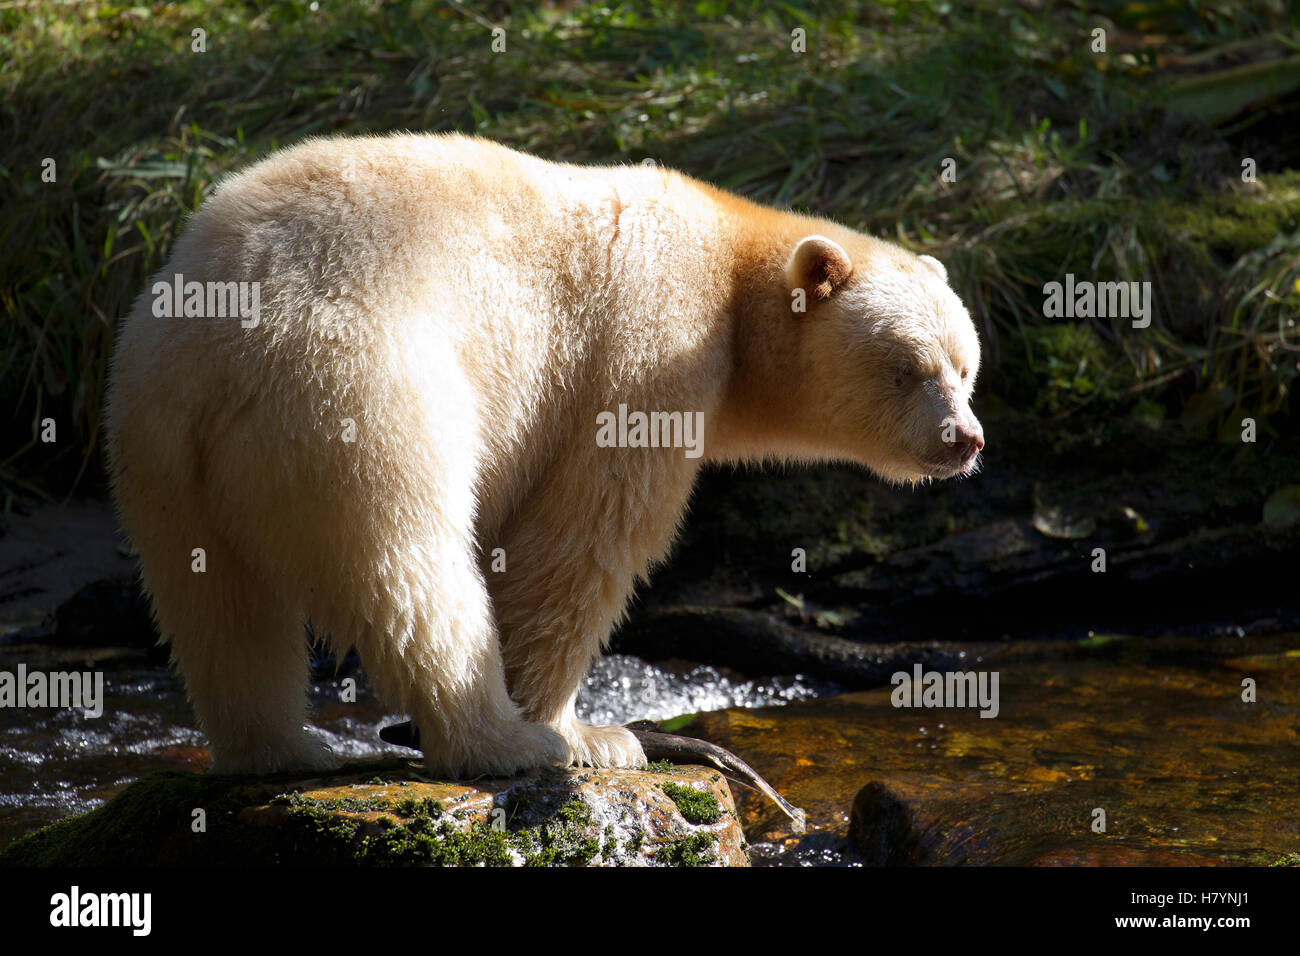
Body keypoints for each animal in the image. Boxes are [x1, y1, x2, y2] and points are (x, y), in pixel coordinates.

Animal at [105, 133, 983, 777]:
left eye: (967, 367)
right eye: (909, 367)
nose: (966, 441)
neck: (728, 256)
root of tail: (221, 343)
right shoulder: (649, 343)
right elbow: (585, 537)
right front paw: (592, 733)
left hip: (160, 442)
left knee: (218, 607)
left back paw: (287, 749)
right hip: (357, 394)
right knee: (411, 566)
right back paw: (506, 742)